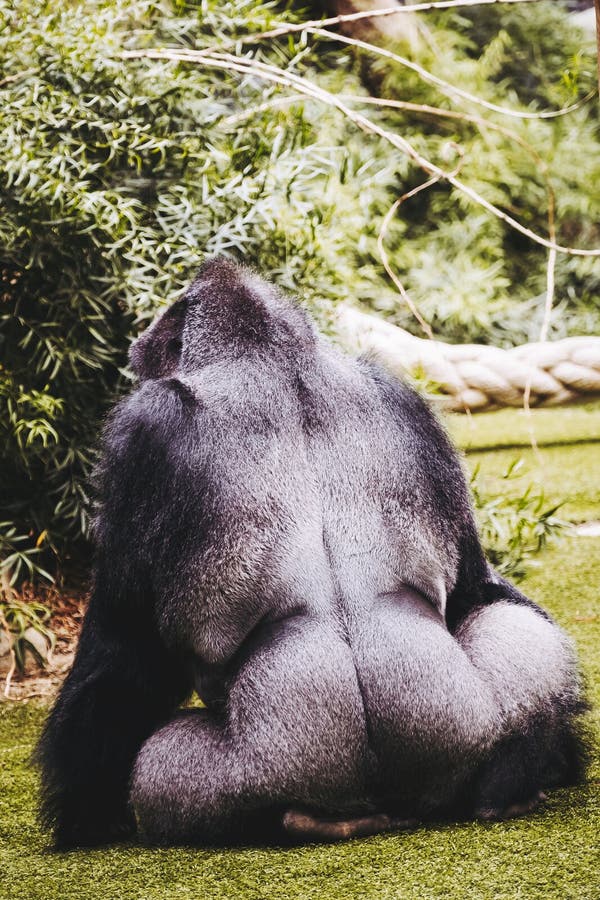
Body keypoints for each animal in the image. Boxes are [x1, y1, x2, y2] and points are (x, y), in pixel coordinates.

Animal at [37, 257, 587, 848]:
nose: (138, 343)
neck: (270, 356)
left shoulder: (144, 428)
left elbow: (120, 655)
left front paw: (85, 817)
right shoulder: (409, 401)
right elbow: (472, 585)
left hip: (278, 765)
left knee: (163, 774)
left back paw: (299, 820)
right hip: (462, 724)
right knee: (510, 623)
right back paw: (517, 778)